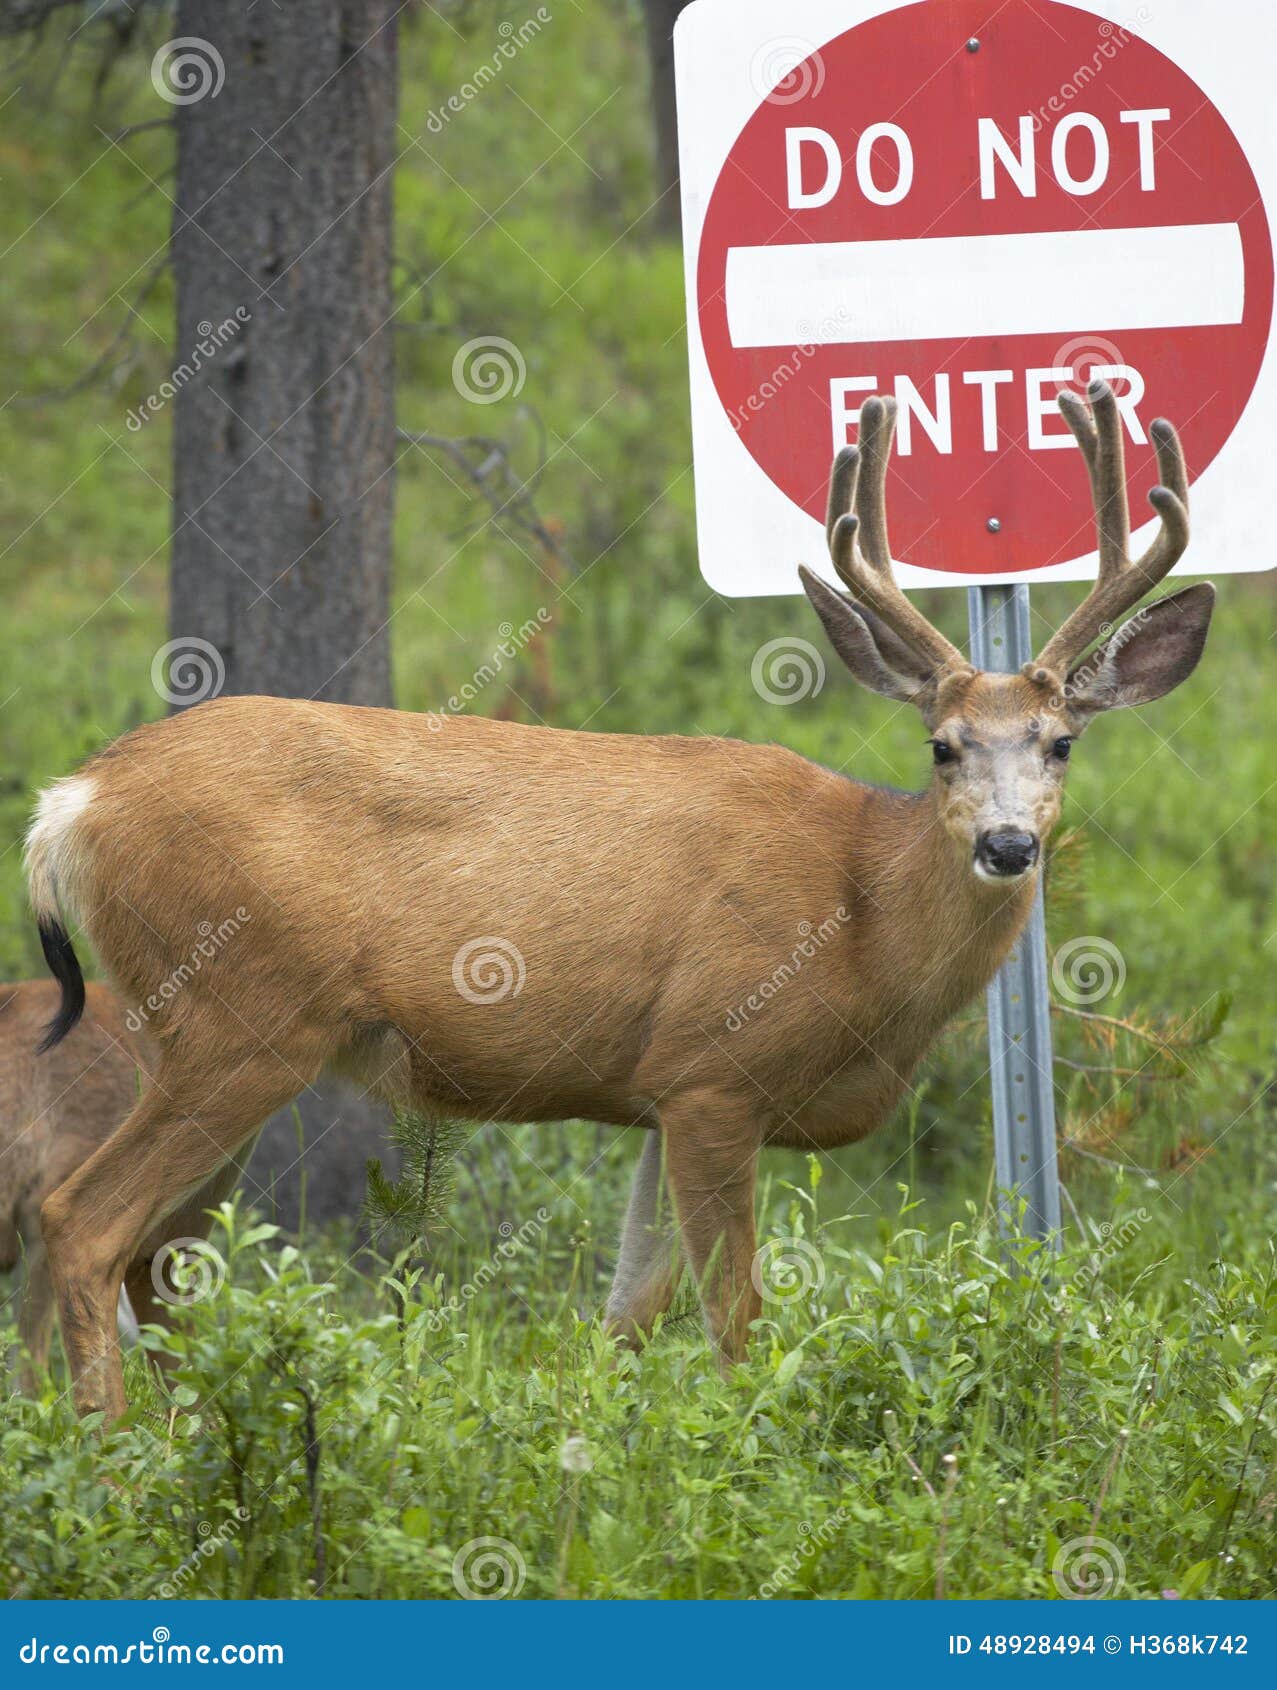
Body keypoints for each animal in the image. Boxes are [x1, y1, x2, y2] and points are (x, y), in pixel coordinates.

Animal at [24, 380, 1213, 1422]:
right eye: (942, 745)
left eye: (1060, 743)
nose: (1008, 844)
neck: (860, 917)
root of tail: (71, 804)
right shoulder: (715, 1067)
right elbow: (732, 1313)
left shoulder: (657, 1084)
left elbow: (626, 1314)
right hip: (238, 1014)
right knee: (84, 1222)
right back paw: (114, 1462)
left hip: (210, 1034)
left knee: (152, 1257)